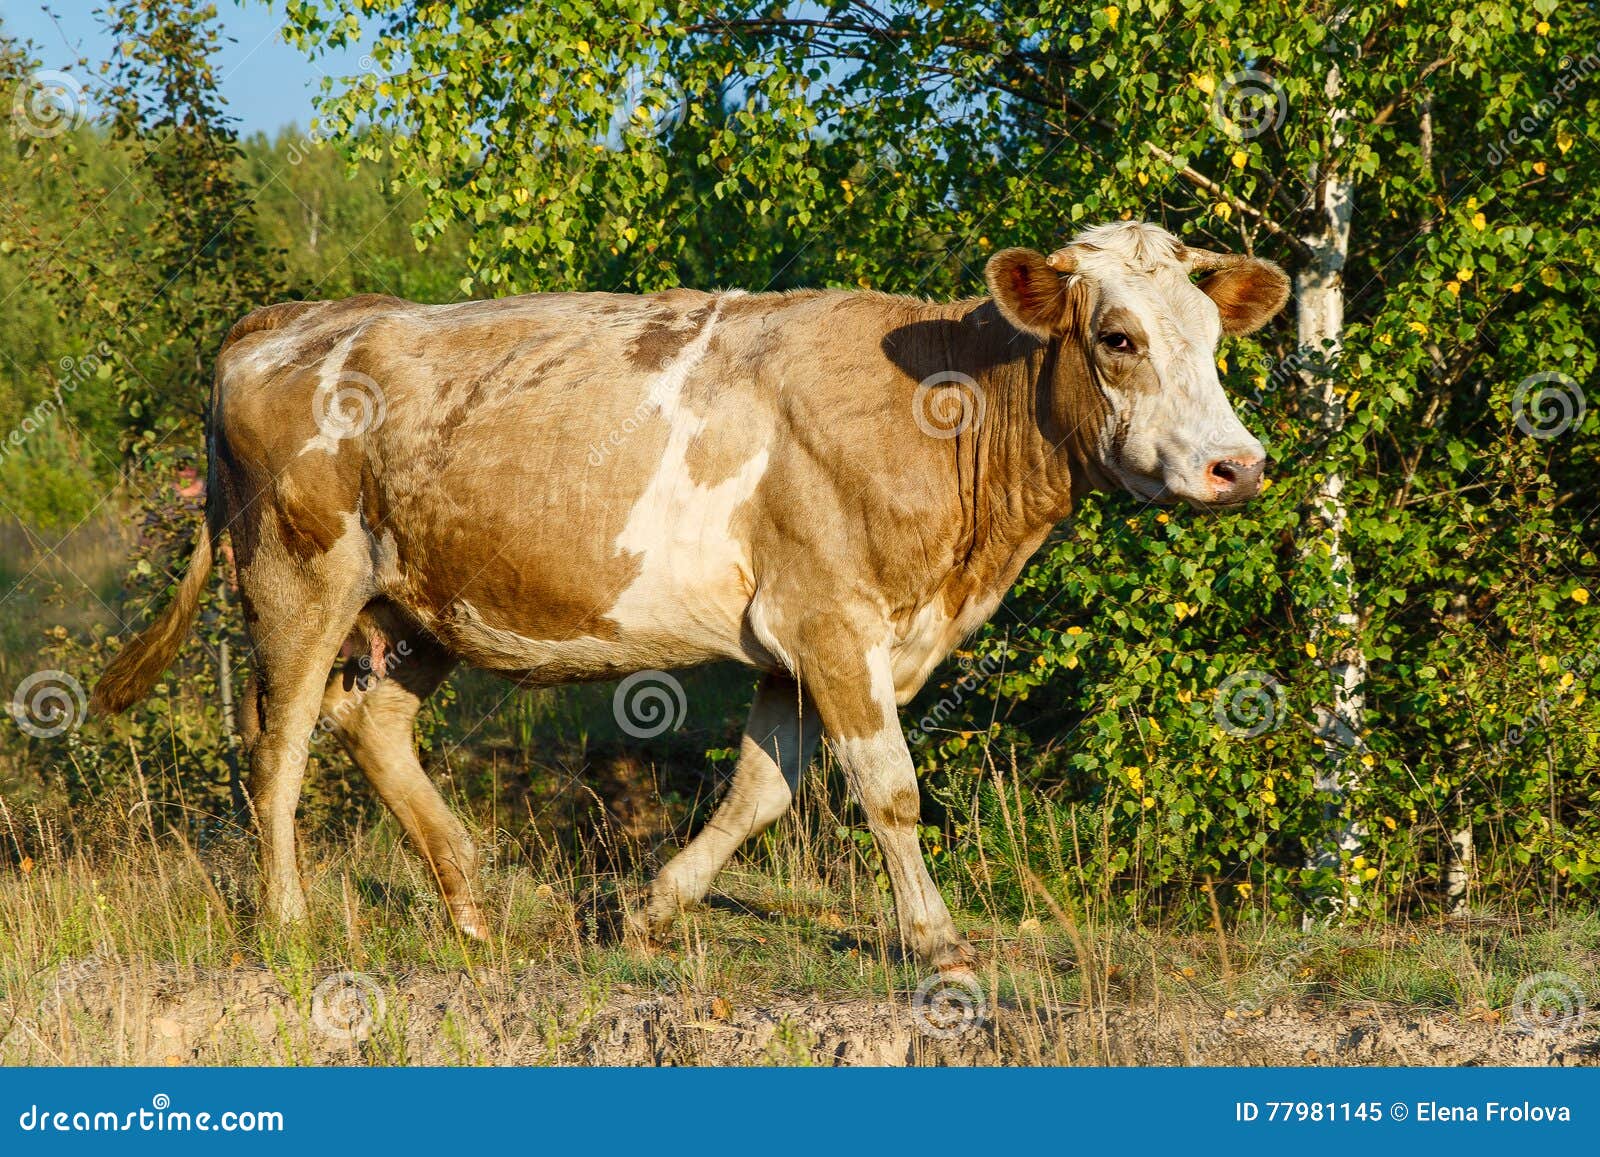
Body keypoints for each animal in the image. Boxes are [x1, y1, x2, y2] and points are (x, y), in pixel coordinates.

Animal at [93, 221, 1288, 972]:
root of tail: (297, 315)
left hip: (424, 599)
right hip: (298, 577)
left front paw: (647, 908)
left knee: (369, 717)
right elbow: (889, 787)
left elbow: (760, 789)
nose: (1237, 465)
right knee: (279, 746)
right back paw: (289, 921)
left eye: (1214, 339)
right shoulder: (832, 619)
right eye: (1119, 338)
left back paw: (470, 903)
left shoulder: (796, 644)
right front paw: (937, 938)